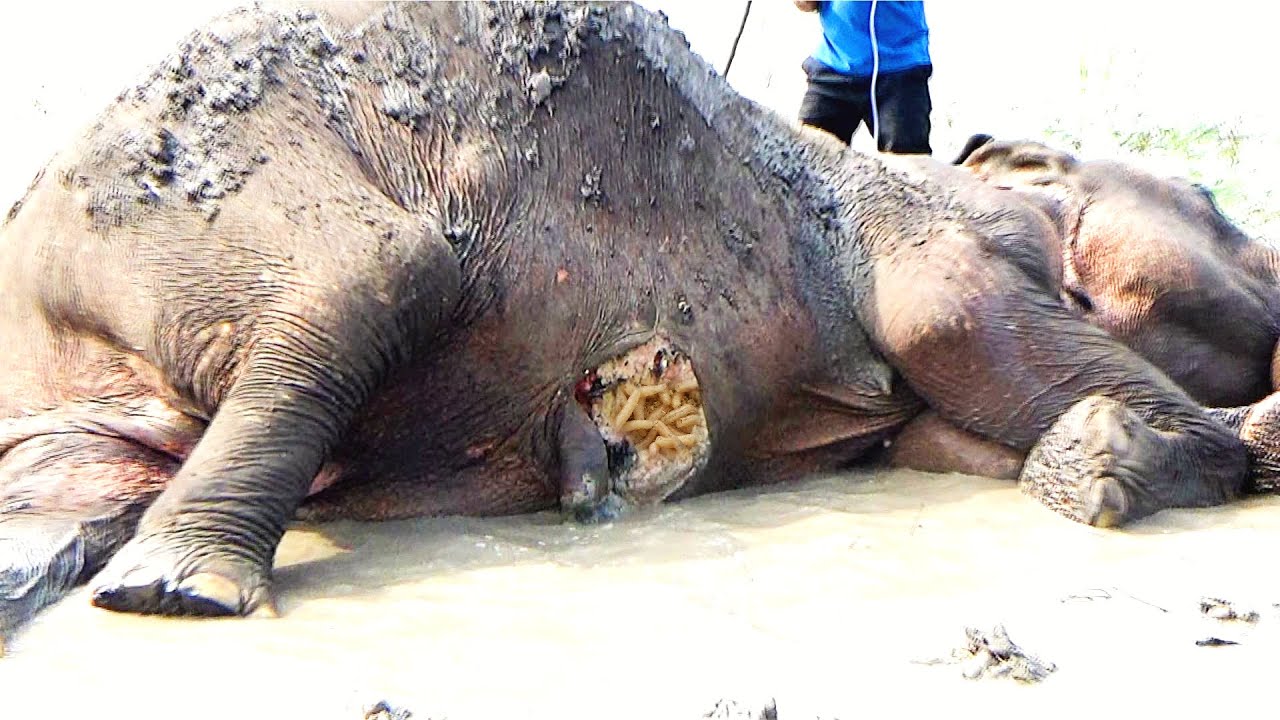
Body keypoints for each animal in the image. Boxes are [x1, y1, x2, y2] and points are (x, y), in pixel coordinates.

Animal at [0, 2, 1247, 647]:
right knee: (381, 271)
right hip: (202, 192)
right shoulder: (947, 246)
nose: (1252, 230)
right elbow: (965, 332)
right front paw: (1201, 448)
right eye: (1222, 206)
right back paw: (178, 592)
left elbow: (952, 438)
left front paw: (1093, 459)